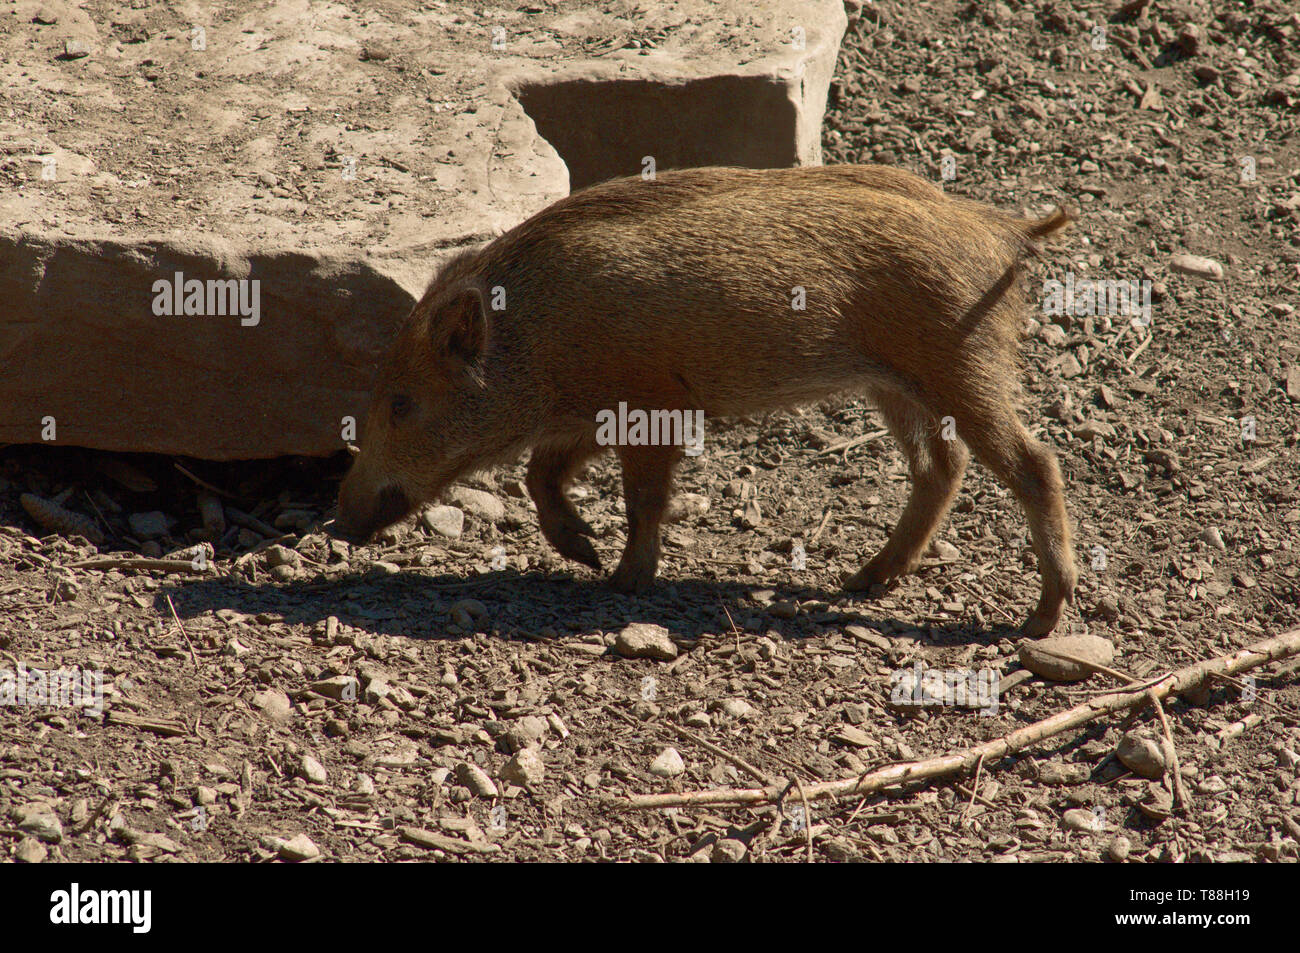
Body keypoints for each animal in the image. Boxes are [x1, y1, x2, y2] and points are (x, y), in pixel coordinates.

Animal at [331, 164, 1078, 636]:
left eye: (401, 404)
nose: (339, 521)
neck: (536, 335)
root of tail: (1002, 228)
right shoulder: (594, 413)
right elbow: (540, 473)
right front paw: (585, 554)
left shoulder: (652, 407)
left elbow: (641, 499)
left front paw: (621, 582)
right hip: (896, 384)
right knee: (940, 468)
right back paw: (860, 581)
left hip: (962, 364)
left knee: (1034, 464)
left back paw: (1038, 620)